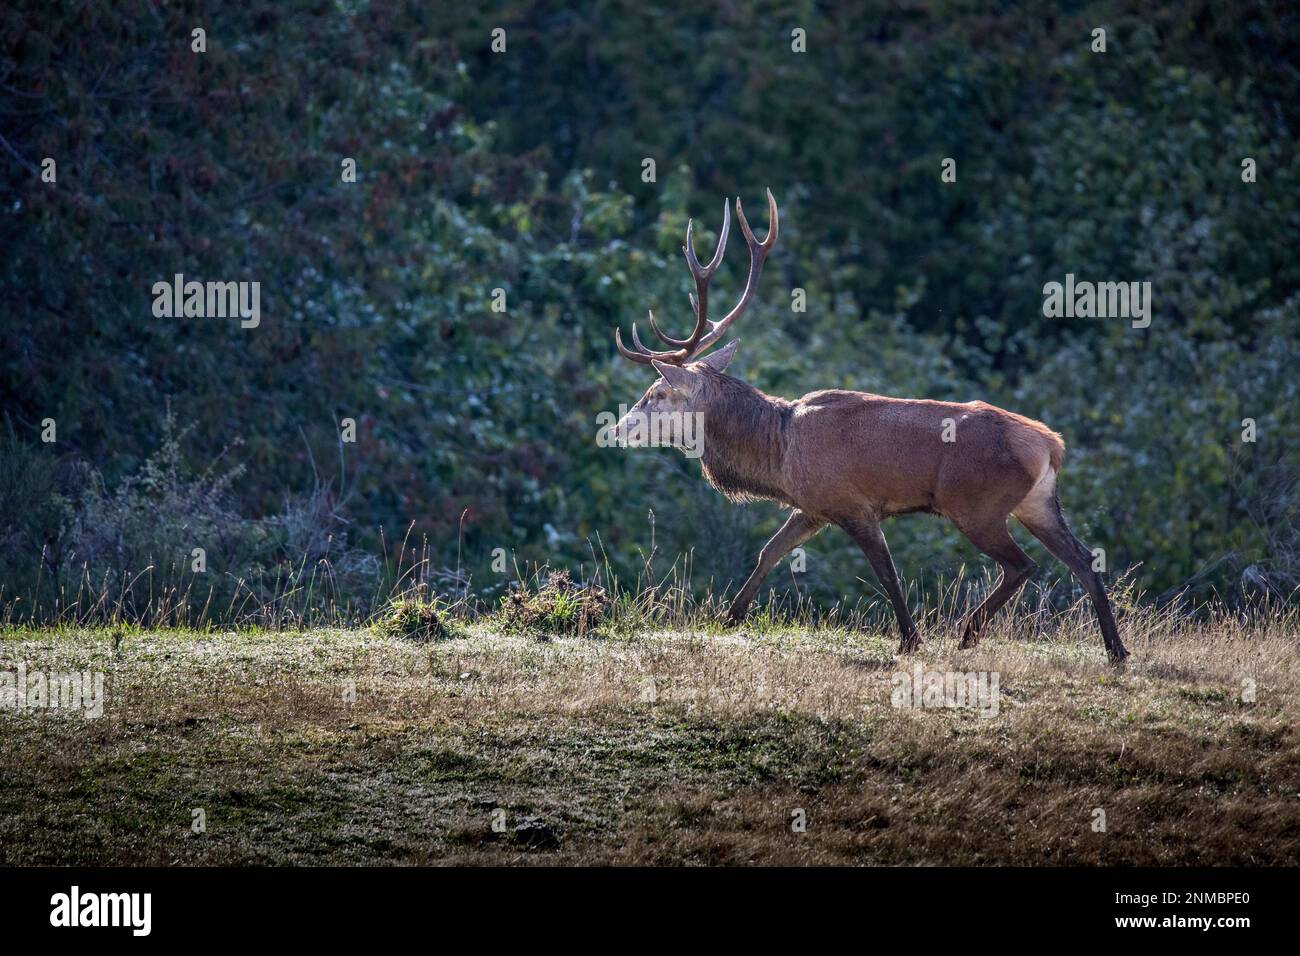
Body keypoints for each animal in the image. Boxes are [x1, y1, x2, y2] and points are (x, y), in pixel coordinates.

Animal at [611, 190, 1130, 663]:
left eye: (657, 393)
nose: (617, 428)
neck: (777, 453)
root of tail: (1050, 444)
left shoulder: (852, 503)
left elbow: (886, 572)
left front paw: (910, 640)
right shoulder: (812, 506)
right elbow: (769, 552)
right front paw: (729, 616)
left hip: (977, 504)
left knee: (1023, 565)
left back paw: (967, 633)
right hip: (1036, 503)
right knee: (1084, 559)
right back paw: (1116, 649)